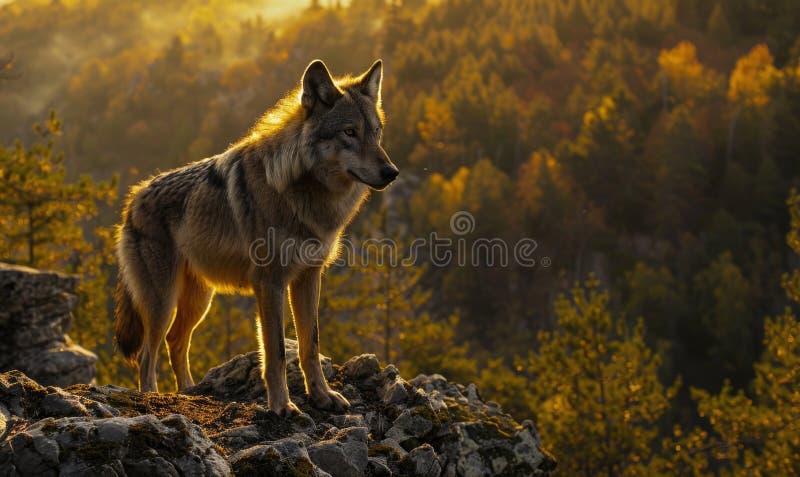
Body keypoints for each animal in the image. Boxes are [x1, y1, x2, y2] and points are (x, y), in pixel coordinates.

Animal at [114, 59, 398, 416]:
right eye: (350, 132)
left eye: (377, 132)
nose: (392, 173)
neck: (304, 194)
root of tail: (134, 198)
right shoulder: (270, 283)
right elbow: (276, 351)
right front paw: (281, 406)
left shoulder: (308, 278)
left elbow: (310, 344)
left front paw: (322, 397)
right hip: (162, 301)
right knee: (146, 355)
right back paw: (153, 397)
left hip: (199, 301)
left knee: (175, 342)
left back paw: (189, 392)